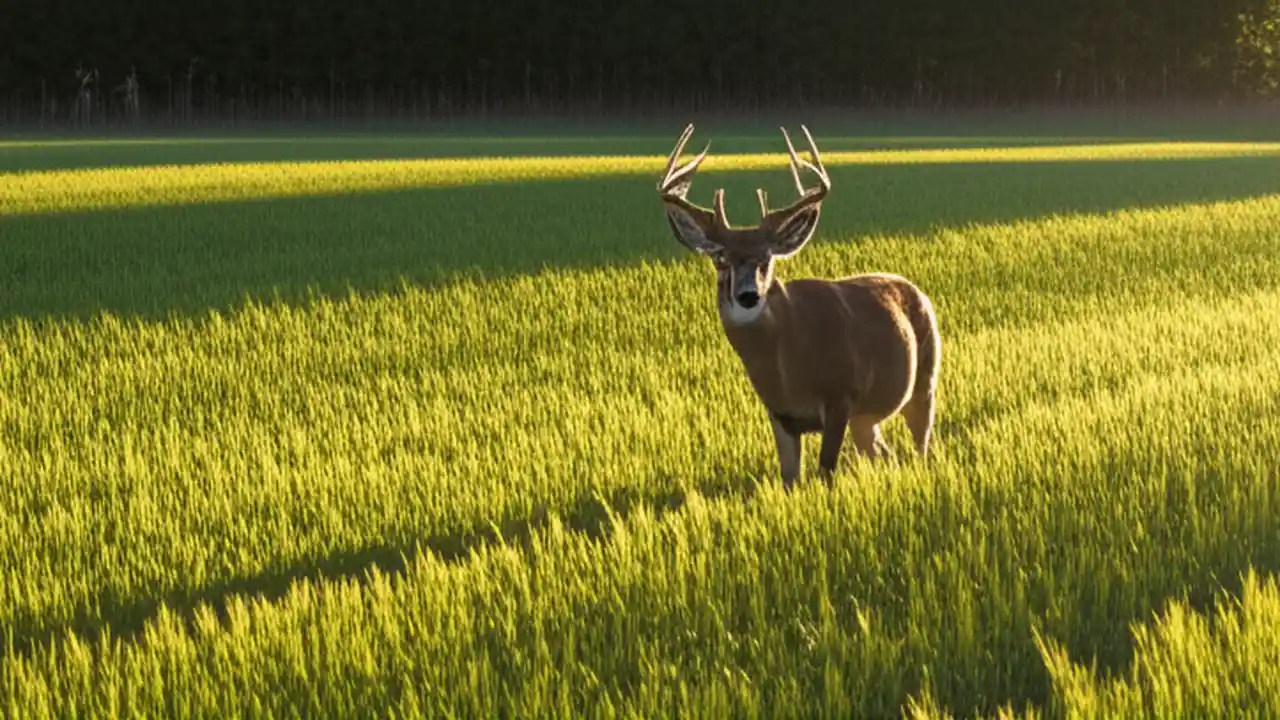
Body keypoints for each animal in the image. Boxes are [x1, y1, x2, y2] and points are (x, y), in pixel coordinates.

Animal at [657, 124, 940, 486]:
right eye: (720, 260)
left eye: (766, 259)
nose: (748, 295)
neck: (789, 370)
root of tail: (917, 290)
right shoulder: (779, 413)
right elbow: (789, 478)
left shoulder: (840, 396)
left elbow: (826, 470)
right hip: (866, 418)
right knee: (884, 453)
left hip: (924, 382)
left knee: (920, 446)